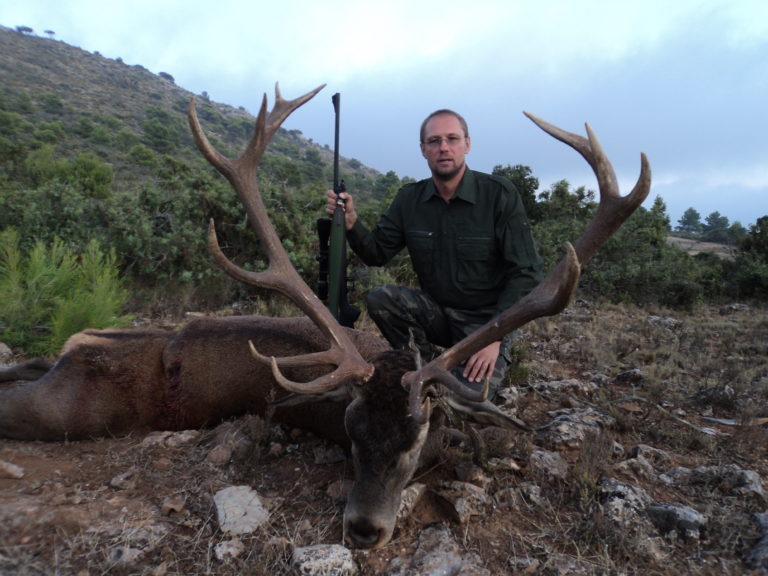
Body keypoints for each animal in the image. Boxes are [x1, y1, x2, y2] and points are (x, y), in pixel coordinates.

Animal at [0, 84, 651, 549]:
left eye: (414, 439)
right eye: (351, 433)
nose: (363, 530)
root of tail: (78, 346)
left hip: (61, 362)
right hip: (64, 411)